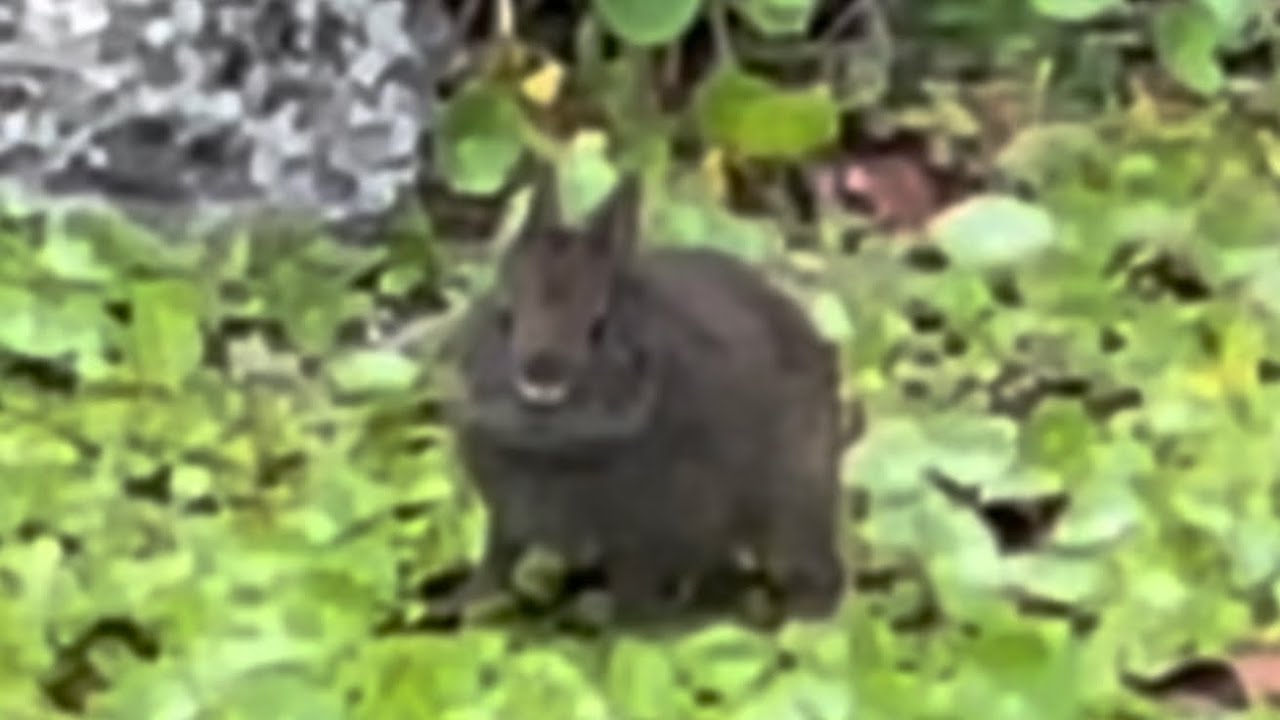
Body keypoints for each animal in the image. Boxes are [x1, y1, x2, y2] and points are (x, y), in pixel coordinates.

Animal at [440, 165, 846, 626]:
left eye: (598, 326)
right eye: (504, 315)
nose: (542, 379)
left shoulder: (641, 541)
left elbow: (632, 604)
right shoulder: (506, 520)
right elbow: (494, 565)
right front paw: (459, 606)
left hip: (793, 514)